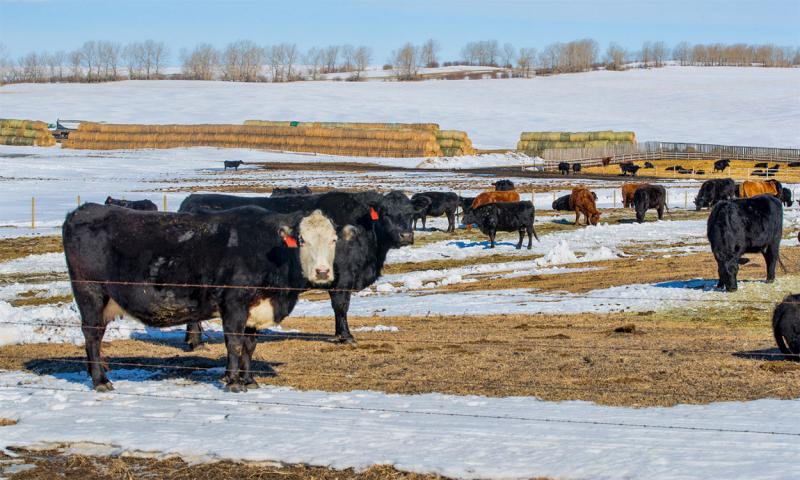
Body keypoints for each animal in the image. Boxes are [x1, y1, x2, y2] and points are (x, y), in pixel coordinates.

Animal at [63, 204, 338, 392]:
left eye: (334, 240)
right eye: (302, 240)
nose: (322, 272)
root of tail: (83, 210)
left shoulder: (255, 308)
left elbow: (250, 346)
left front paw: (249, 380)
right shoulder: (234, 304)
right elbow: (235, 343)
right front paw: (233, 382)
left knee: (97, 336)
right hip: (90, 293)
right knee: (91, 335)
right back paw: (101, 380)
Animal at [179, 190, 415, 346]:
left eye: (410, 213)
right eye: (385, 212)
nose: (405, 235)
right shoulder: (342, 278)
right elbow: (341, 306)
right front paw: (346, 336)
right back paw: (195, 341)